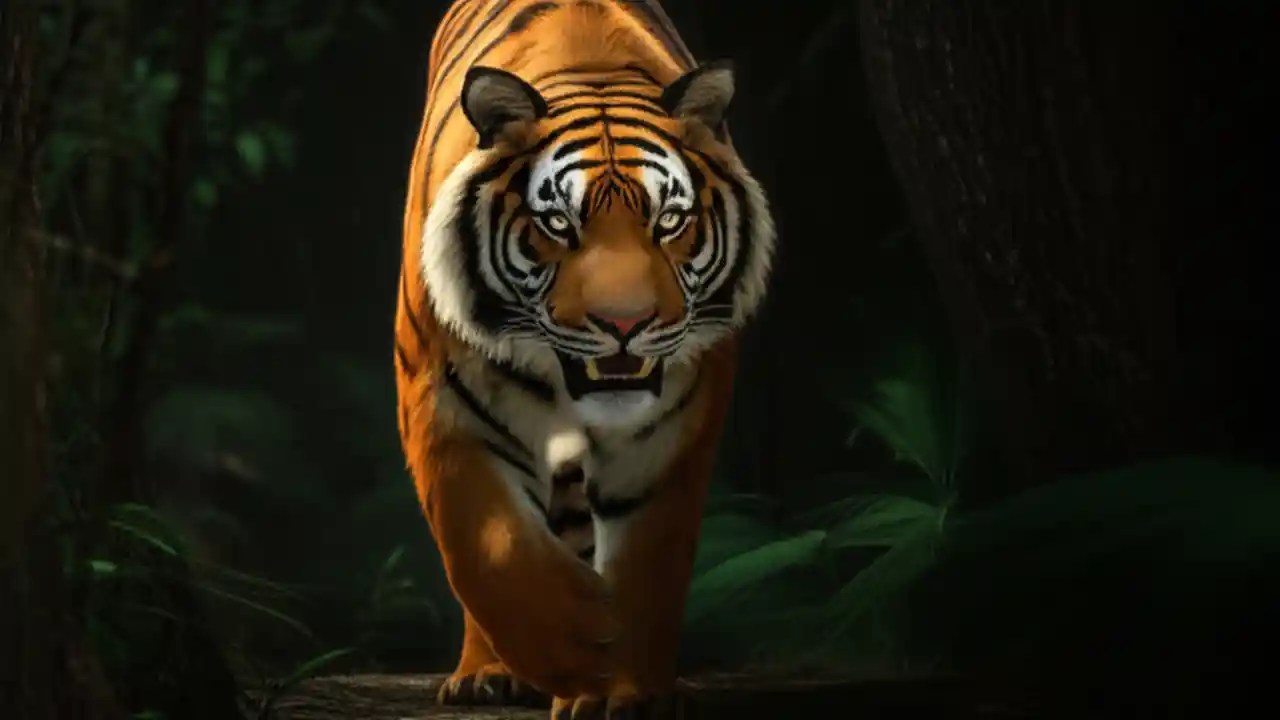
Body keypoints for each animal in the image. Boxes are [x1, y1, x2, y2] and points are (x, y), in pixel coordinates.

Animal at [393, 0, 776, 716]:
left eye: (669, 221)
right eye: (558, 225)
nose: (626, 324)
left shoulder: (672, 433)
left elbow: (649, 563)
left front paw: (624, 690)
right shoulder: (441, 402)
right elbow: (489, 547)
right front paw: (576, 646)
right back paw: (486, 671)